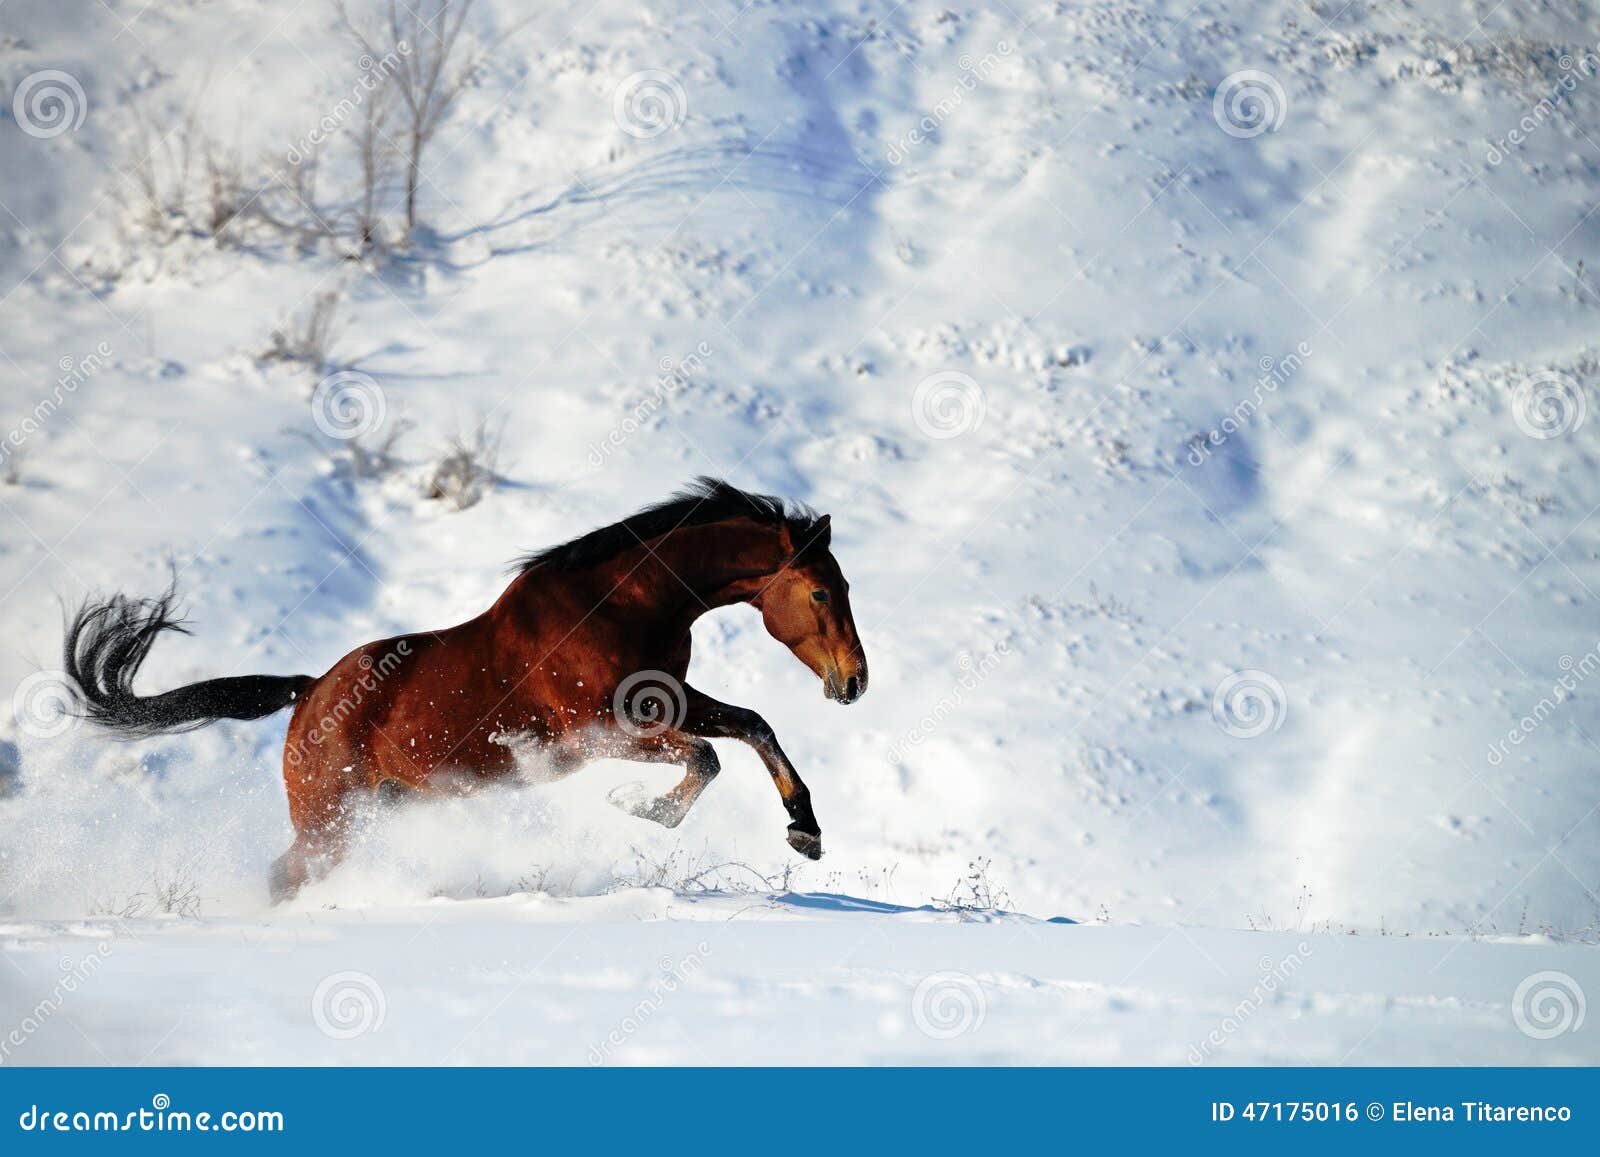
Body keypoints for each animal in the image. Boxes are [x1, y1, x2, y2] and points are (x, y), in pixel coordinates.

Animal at [63, 478, 868, 900]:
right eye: (821, 592)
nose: (855, 681)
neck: (620, 604)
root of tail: (308, 692)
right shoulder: (597, 731)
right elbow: (707, 756)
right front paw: (641, 808)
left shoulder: (663, 698)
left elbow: (752, 725)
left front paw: (805, 831)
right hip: (328, 820)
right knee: (284, 873)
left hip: (372, 813)